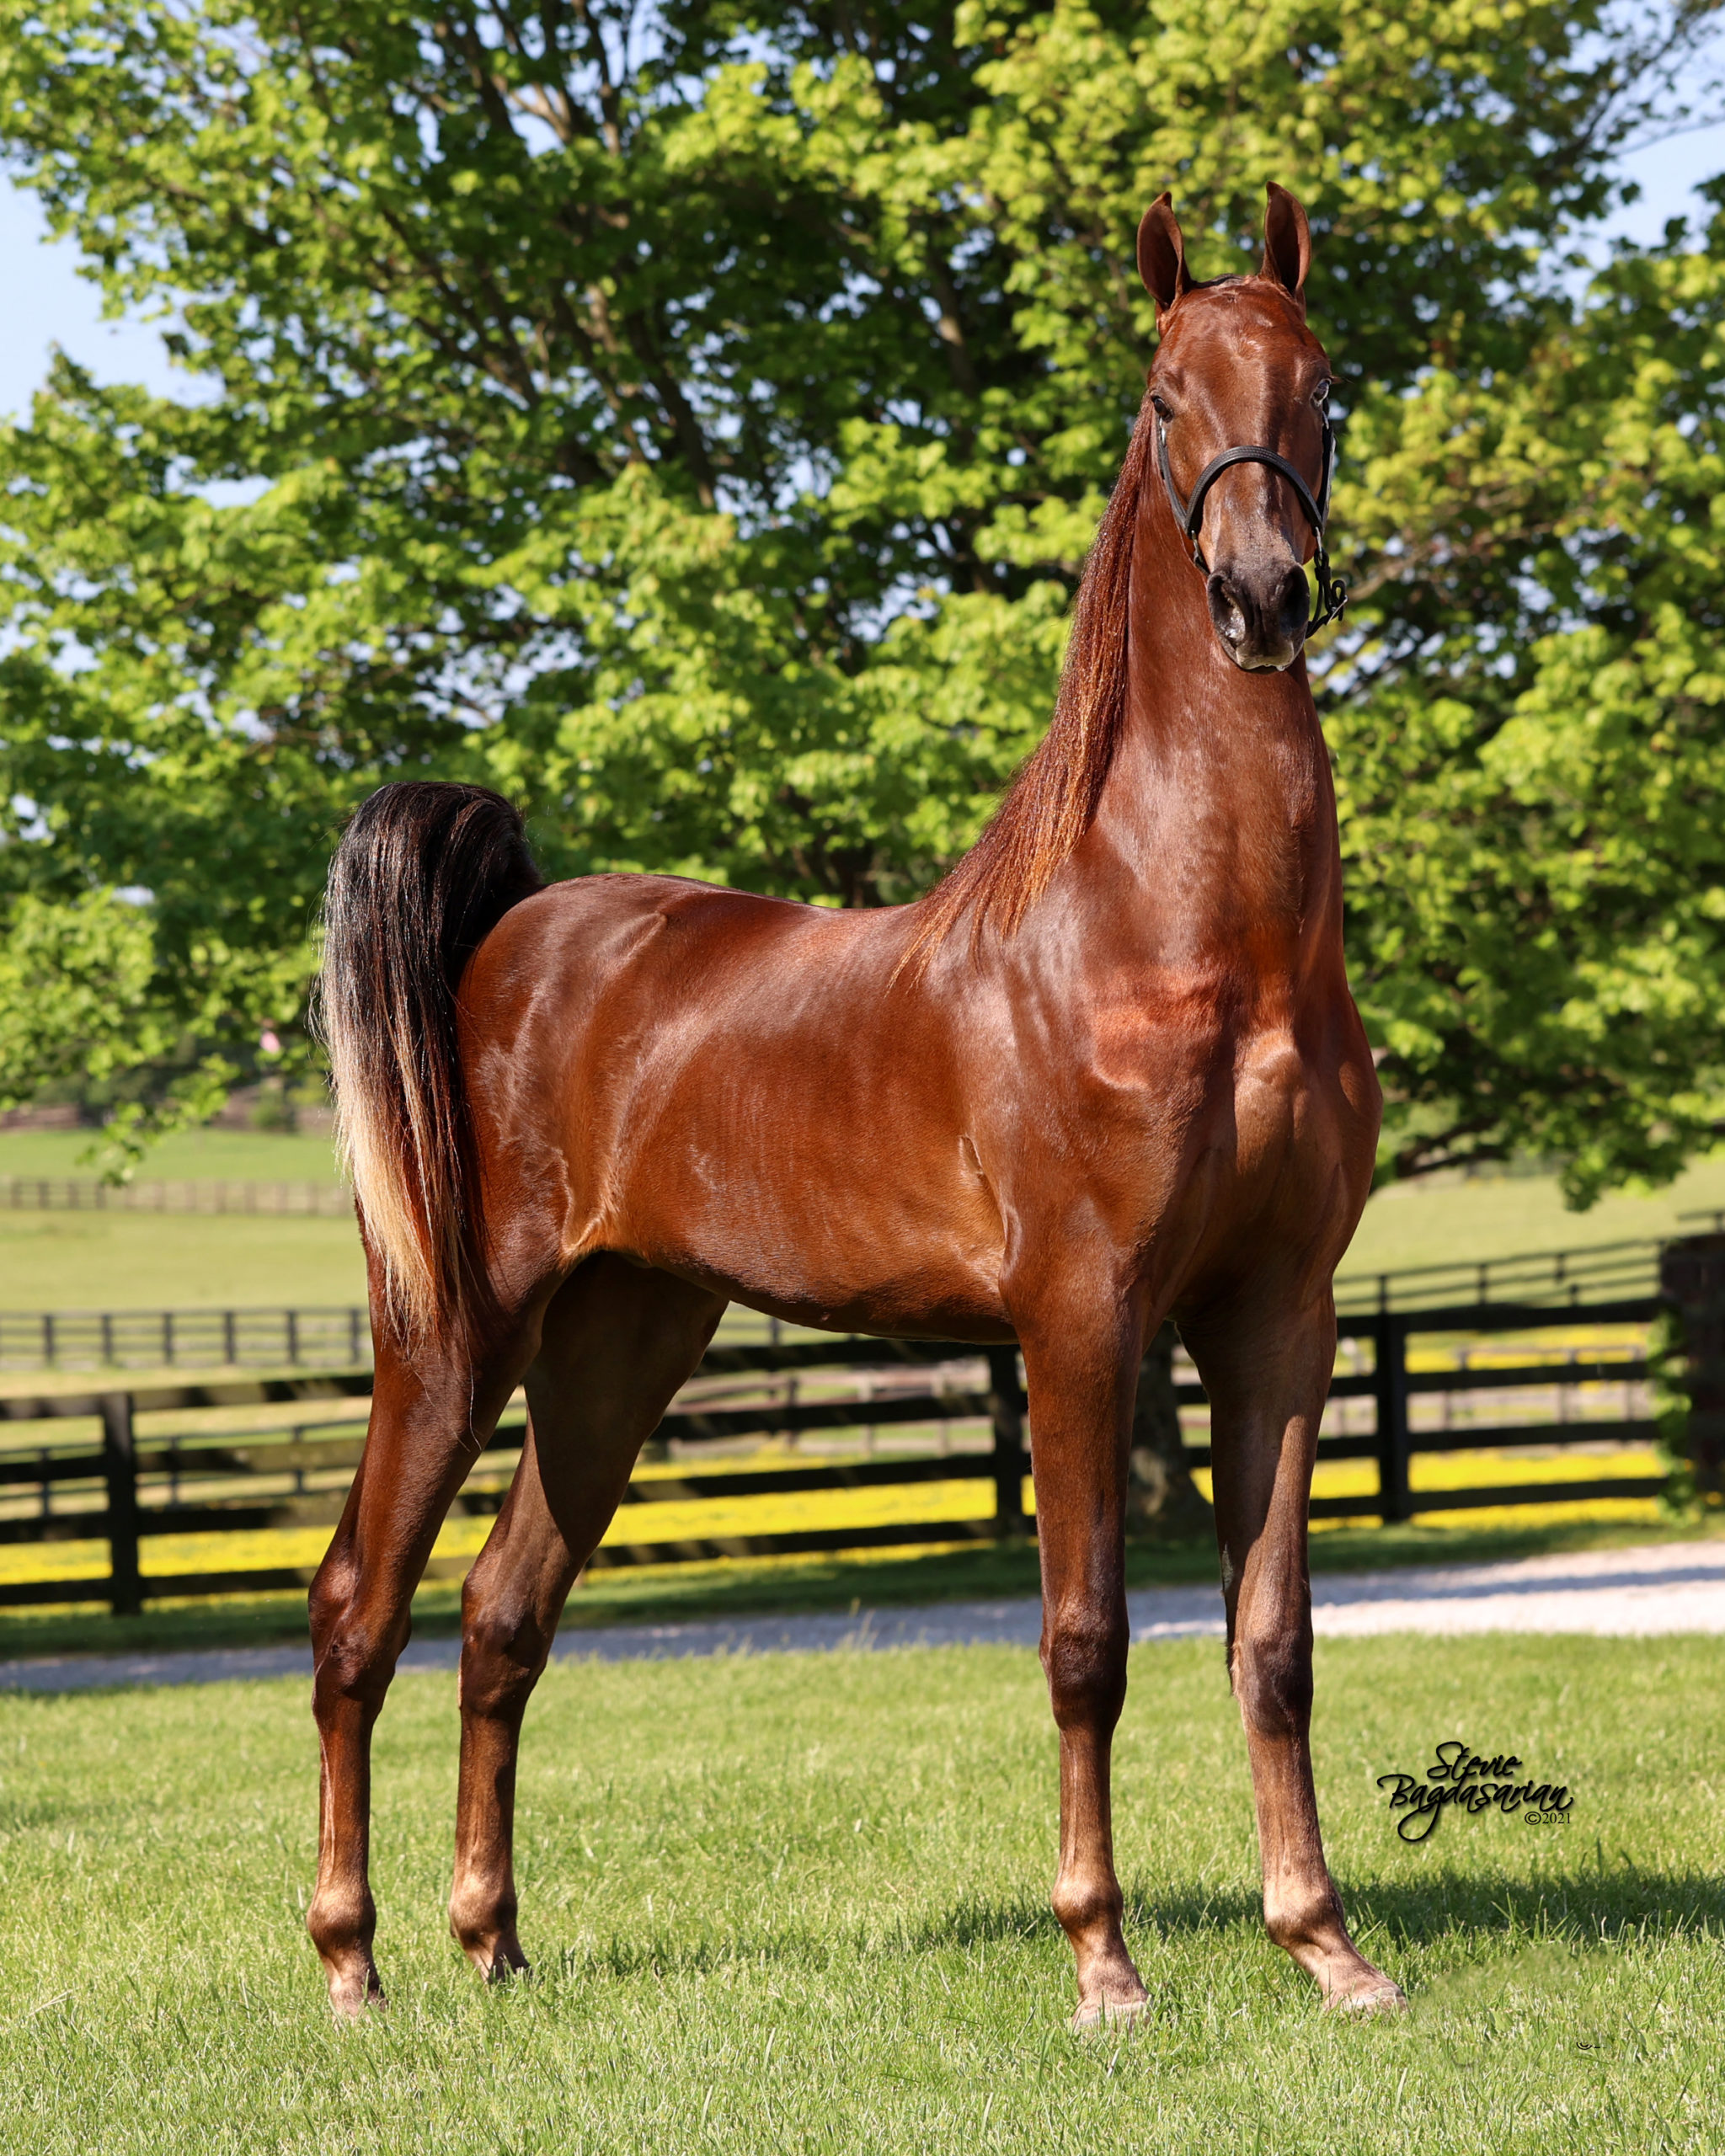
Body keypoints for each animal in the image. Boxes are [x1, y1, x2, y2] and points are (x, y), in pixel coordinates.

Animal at [308, 180, 1404, 2024]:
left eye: (1318, 390)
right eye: (1161, 398)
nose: (1259, 594)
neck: (1182, 938)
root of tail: (513, 930)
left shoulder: (1279, 1315)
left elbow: (1274, 1641)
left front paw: (1323, 1944)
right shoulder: (1079, 1318)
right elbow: (1087, 1641)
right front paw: (1102, 1961)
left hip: (619, 1345)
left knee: (503, 1614)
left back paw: (492, 1943)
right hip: (459, 1334)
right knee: (354, 1613)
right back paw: (350, 1964)